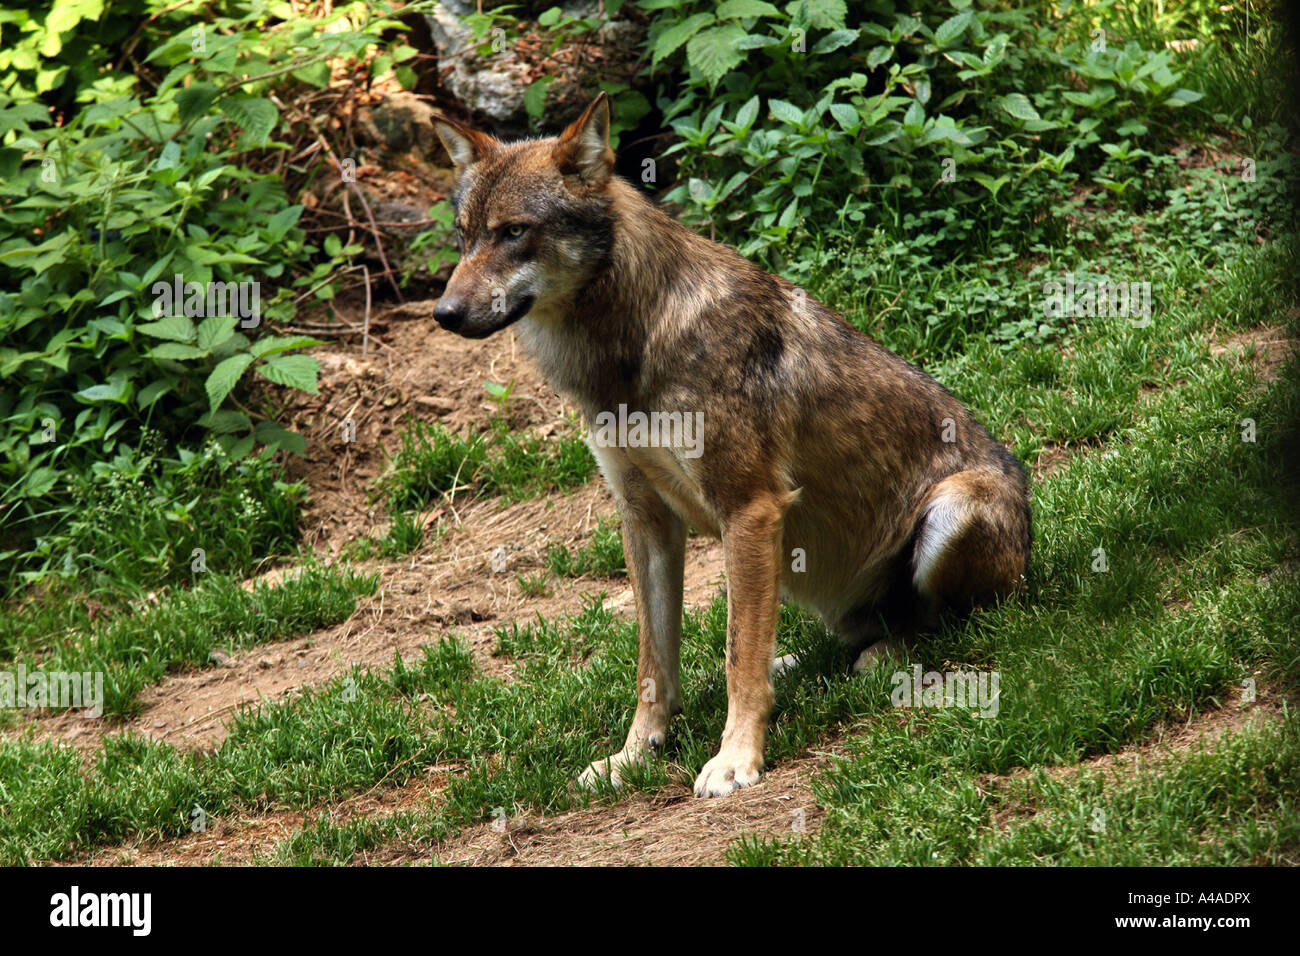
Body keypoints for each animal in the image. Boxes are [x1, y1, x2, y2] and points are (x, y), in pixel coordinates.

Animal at [430, 93, 1031, 797]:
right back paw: (803, 661)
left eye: (513, 232)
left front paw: (736, 759)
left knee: (946, 625)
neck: (630, 350)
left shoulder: (750, 509)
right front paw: (634, 756)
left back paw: (883, 657)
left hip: (953, 508)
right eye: (464, 236)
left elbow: (737, 656)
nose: (443, 314)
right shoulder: (645, 520)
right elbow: (655, 666)